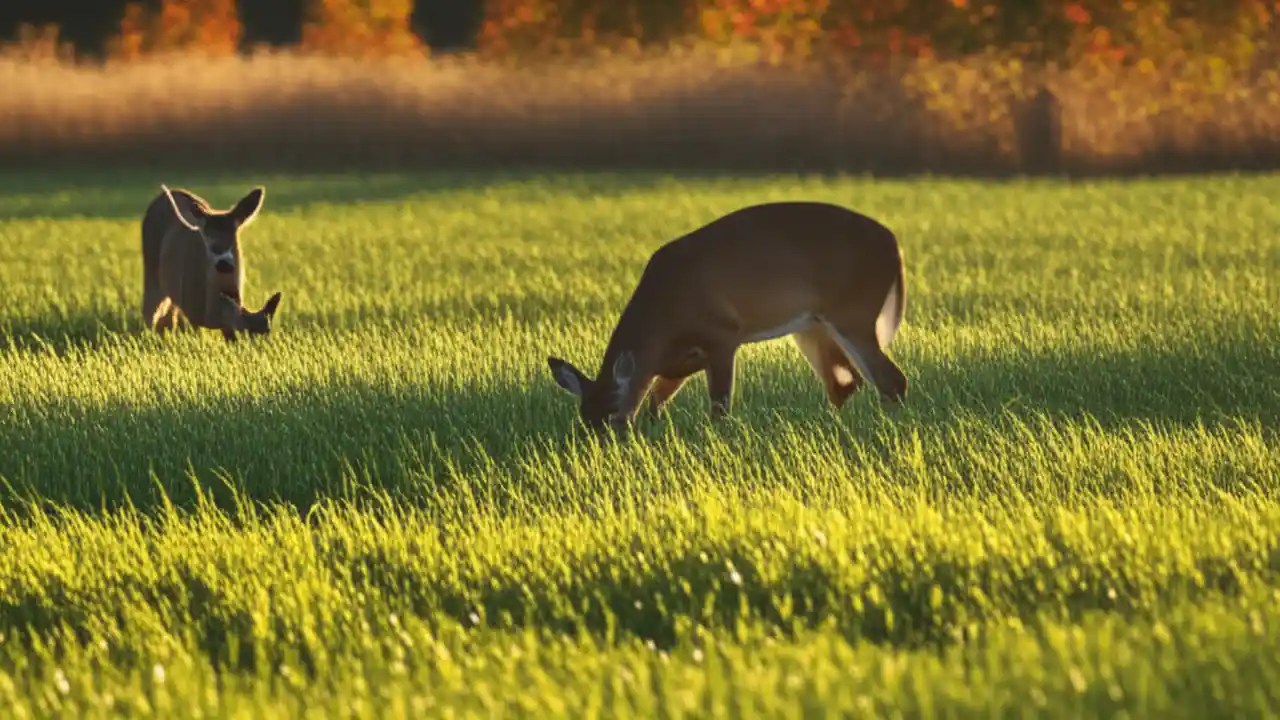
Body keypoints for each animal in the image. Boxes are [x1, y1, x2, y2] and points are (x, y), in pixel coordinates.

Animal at [141, 184, 282, 342]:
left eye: (268, 331)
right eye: (207, 236)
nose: (224, 263)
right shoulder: (191, 308)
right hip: (151, 268)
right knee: (150, 309)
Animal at [547, 201, 907, 433]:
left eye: (613, 416)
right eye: (584, 421)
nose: (604, 445)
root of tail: (893, 243)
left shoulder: (723, 334)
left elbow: (719, 407)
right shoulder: (678, 363)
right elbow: (654, 404)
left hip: (852, 312)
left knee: (890, 380)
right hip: (812, 327)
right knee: (845, 382)